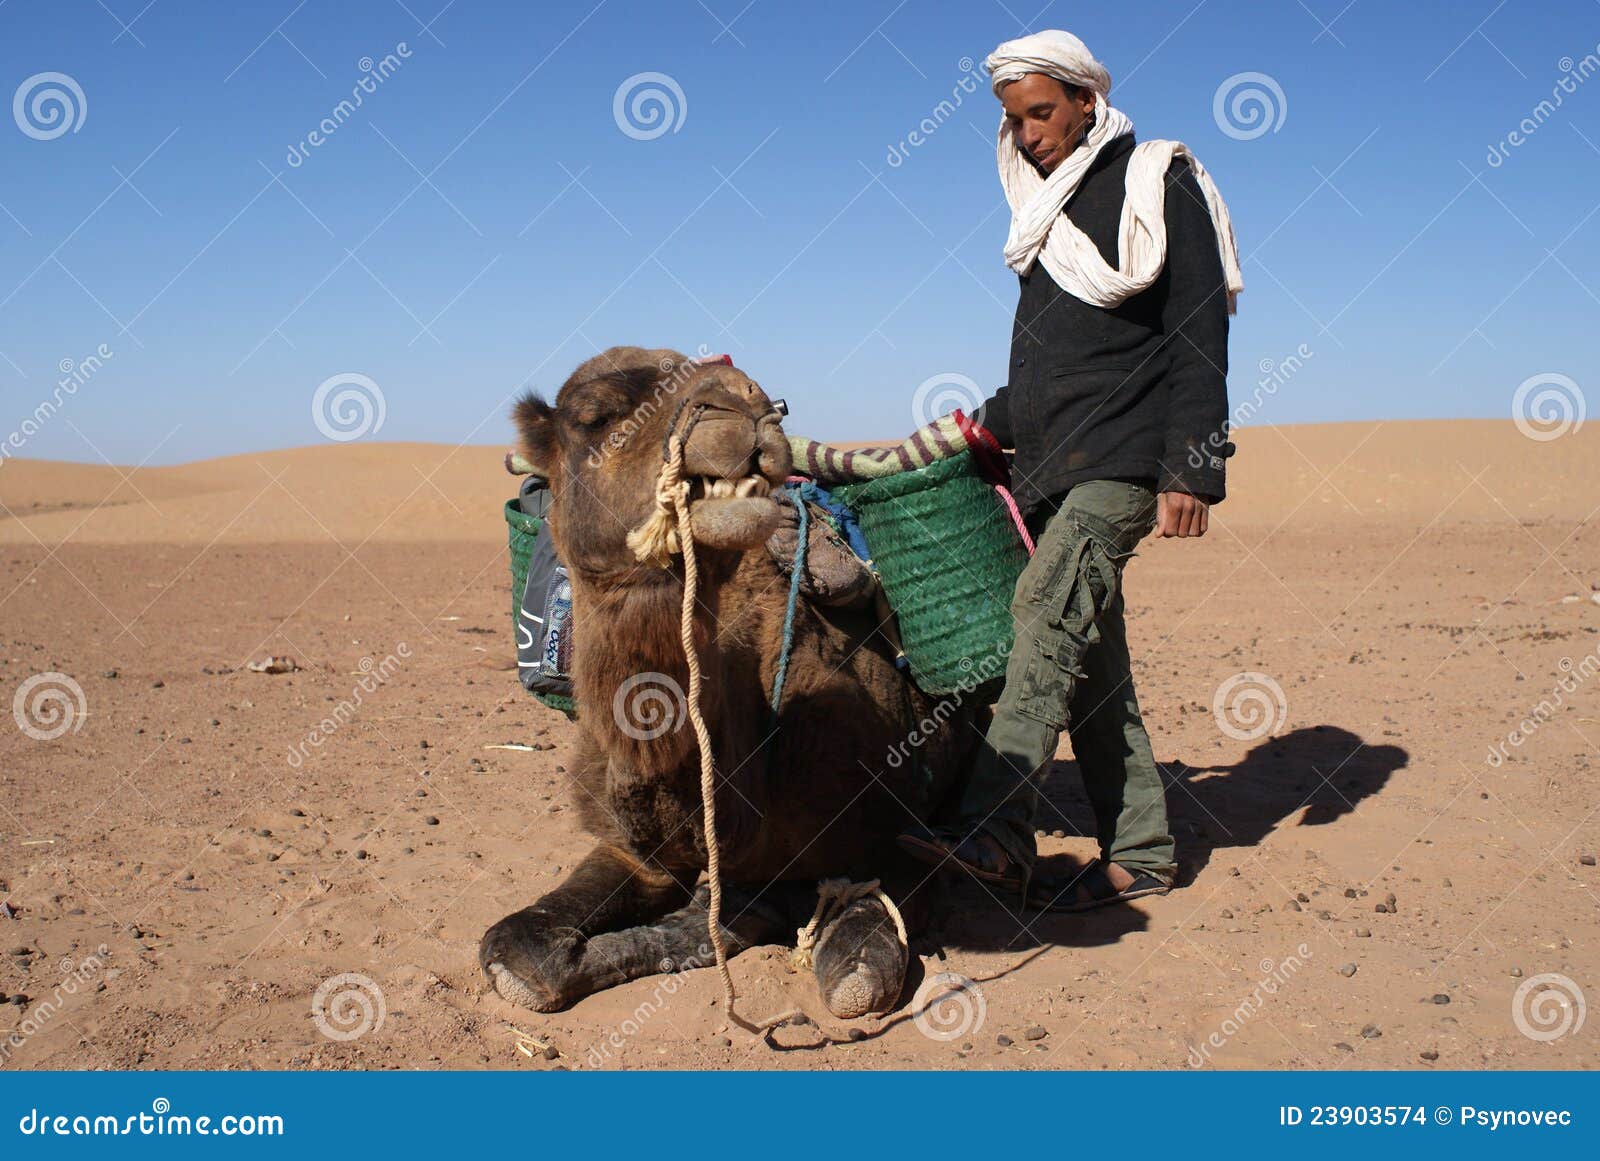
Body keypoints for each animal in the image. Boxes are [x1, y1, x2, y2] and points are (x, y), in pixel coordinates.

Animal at [479, 347, 979, 1020]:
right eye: (594, 415)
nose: (744, 403)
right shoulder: (632, 850)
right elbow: (516, 952)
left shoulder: (892, 837)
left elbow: (858, 979)